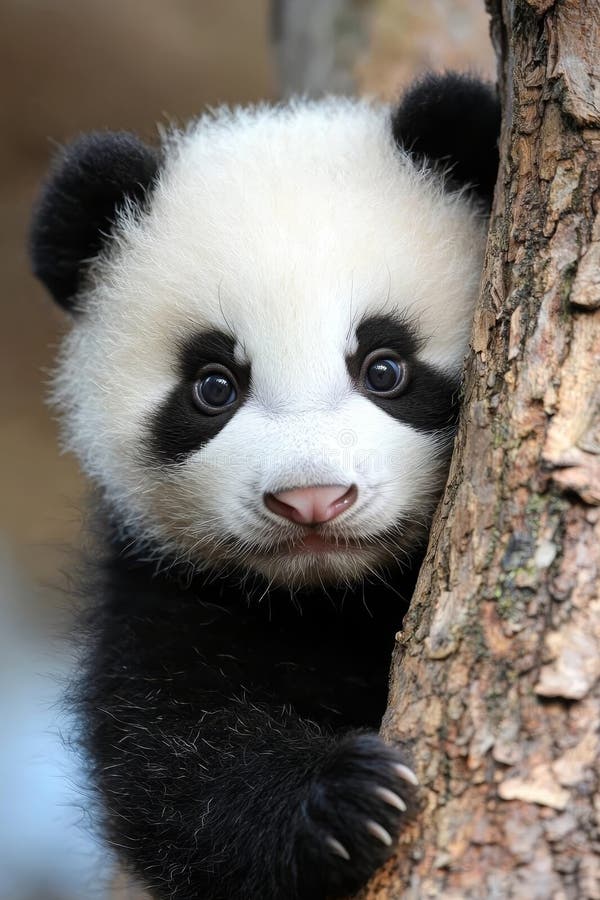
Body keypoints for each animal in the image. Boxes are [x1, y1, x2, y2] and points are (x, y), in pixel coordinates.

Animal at [30, 73, 500, 900]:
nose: (311, 500)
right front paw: (341, 801)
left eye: (385, 368)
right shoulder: (166, 589)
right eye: (214, 386)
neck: (332, 596)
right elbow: (171, 759)